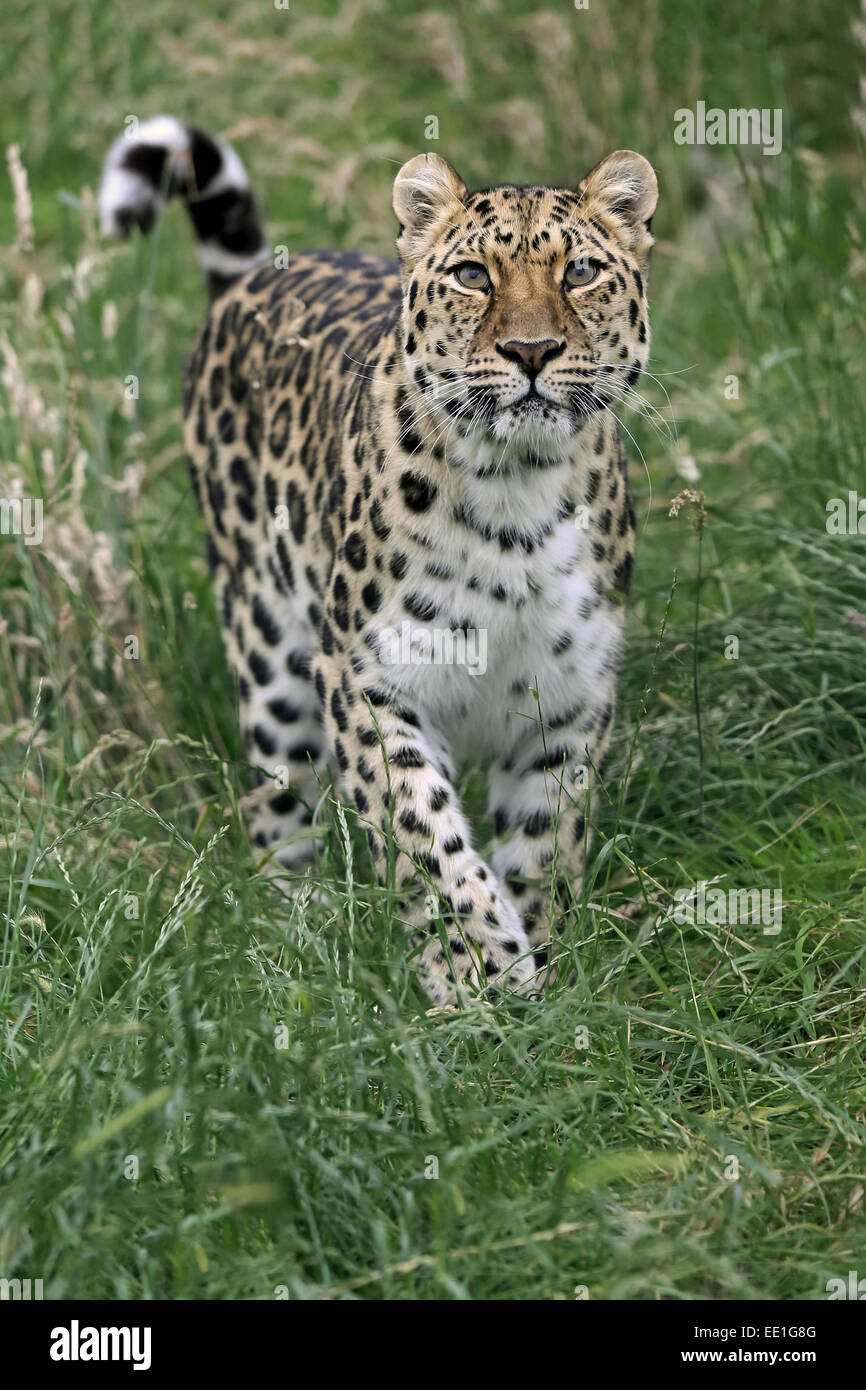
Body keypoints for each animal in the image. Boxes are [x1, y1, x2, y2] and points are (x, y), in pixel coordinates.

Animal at [99, 116, 658, 1006]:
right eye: (472, 276)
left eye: (580, 273)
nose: (532, 350)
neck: (519, 495)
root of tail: (252, 279)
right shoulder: (367, 678)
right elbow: (425, 834)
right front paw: (478, 969)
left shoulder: (571, 698)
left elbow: (545, 838)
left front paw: (537, 961)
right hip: (268, 652)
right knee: (278, 807)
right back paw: (291, 934)